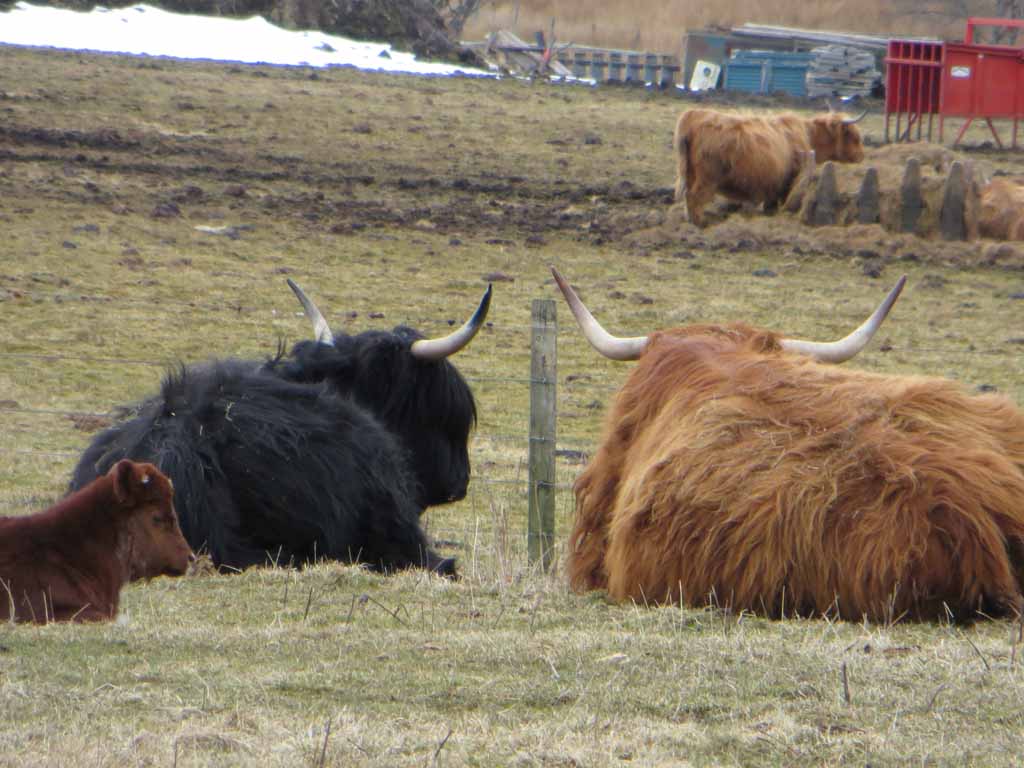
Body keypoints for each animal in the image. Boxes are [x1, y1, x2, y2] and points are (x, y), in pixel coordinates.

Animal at [673, 107, 867, 227]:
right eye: (854, 135)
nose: (861, 155)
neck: (807, 135)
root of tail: (693, 115)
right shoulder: (785, 184)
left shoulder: (772, 187)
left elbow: (769, 207)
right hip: (707, 179)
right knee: (693, 197)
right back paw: (699, 224)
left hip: (689, 174)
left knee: (687, 197)